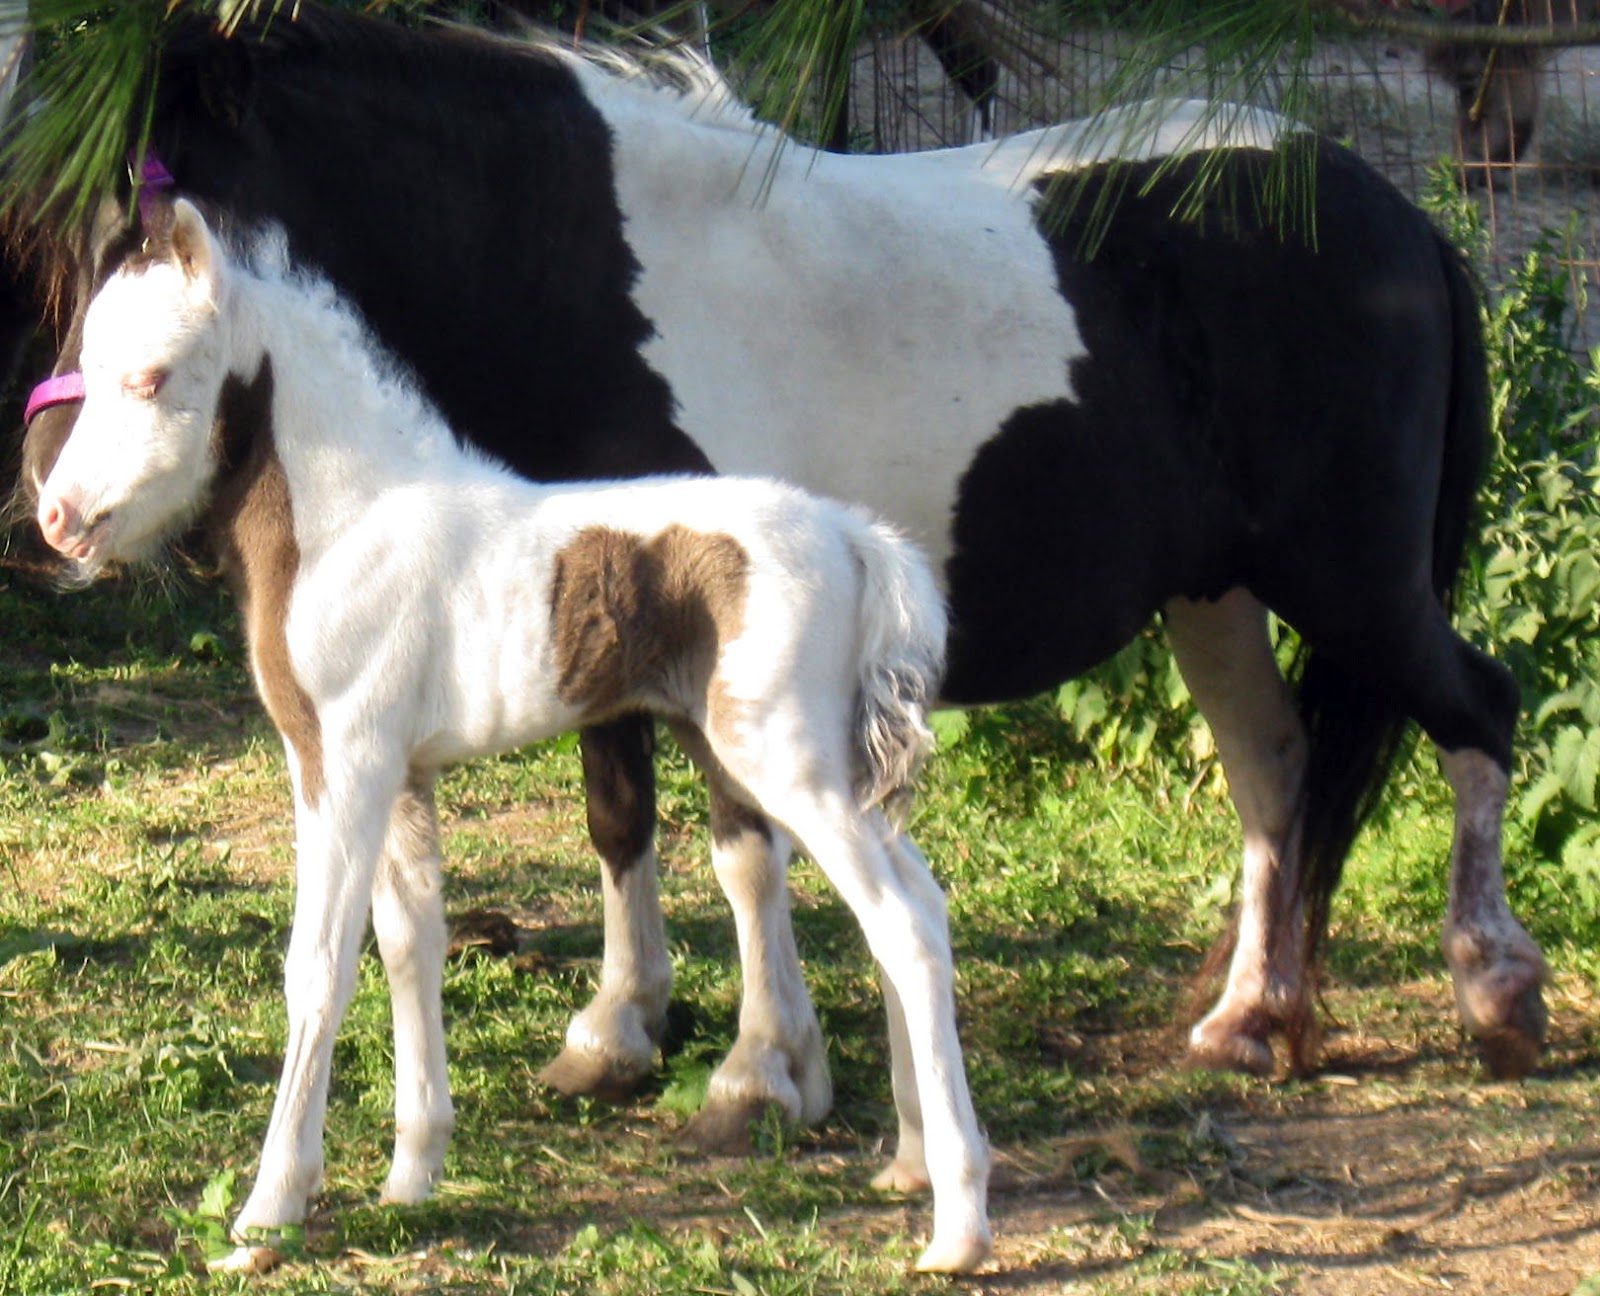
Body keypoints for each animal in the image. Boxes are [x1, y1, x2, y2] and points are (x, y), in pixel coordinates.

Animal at [16, 3, 1545, 1147]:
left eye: (145, 228)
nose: (54, 506)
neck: (572, 268)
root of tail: (1399, 220)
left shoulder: (721, 632)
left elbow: (738, 838)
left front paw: (759, 1072)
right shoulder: (601, 600)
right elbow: (620, 814)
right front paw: (620, 1033)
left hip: (1351, 577)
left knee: (1476, 708)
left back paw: (1492, 992)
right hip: (1213, 597)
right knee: (1276, 770)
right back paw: (1253, 1019)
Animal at [31, 196, 991, 1275]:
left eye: (152, 377)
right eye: (87, 359)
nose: (58, 518)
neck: (349, 526)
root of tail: (854, 537)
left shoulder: (342, 762)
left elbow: (318, 964)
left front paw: (267, 1215)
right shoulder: (402, 775)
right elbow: (410, 944)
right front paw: (411, 1175)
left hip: (790, 761)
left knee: (903, 924)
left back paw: (957, 1227)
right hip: (792, 758)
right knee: (914, 907)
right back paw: (907, 1164)